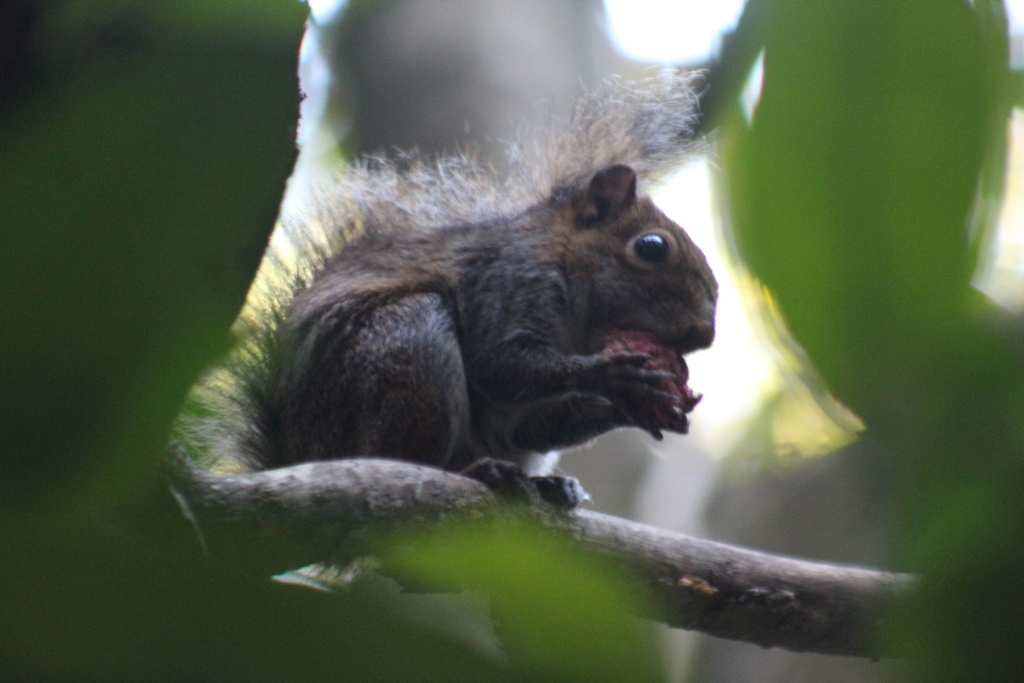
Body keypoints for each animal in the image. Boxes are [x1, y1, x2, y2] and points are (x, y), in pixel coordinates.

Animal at [178, 74, 717, 508]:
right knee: (406, 451)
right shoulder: (510, 279)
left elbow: (541, 422)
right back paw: (474, 470)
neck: (581, 327)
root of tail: (304, 453)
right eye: (651, 246)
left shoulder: (531, 413)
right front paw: (617, 379)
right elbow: (499, 364)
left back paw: (547, 485)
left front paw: (643, 407)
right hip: (404, 350)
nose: (706, 334)